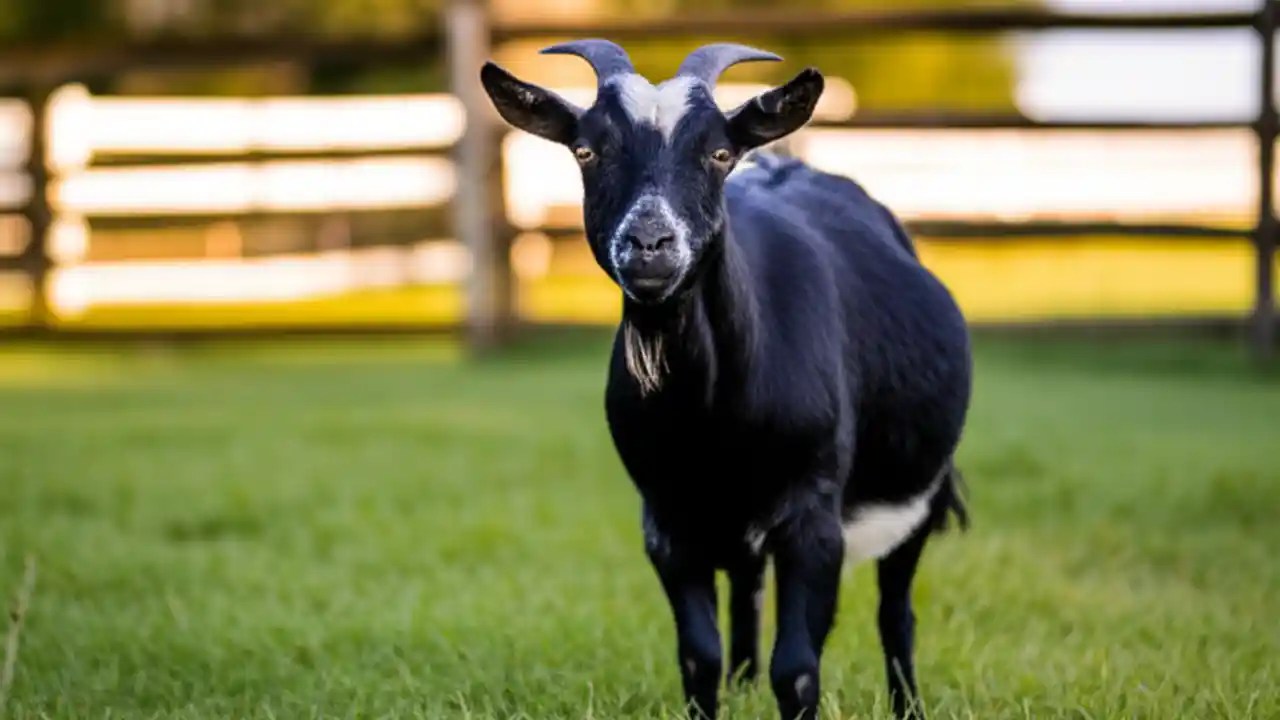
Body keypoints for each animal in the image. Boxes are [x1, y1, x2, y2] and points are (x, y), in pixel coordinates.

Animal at [480, 39, 972, 720]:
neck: (711, 417)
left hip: (921, 493)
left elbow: (797, 668)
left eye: (717, 153)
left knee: (895, 614)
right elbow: (699, 659)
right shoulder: (666, 518)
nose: (650, 244)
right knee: (748, 594)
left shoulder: (813, 513)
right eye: (587, 150)